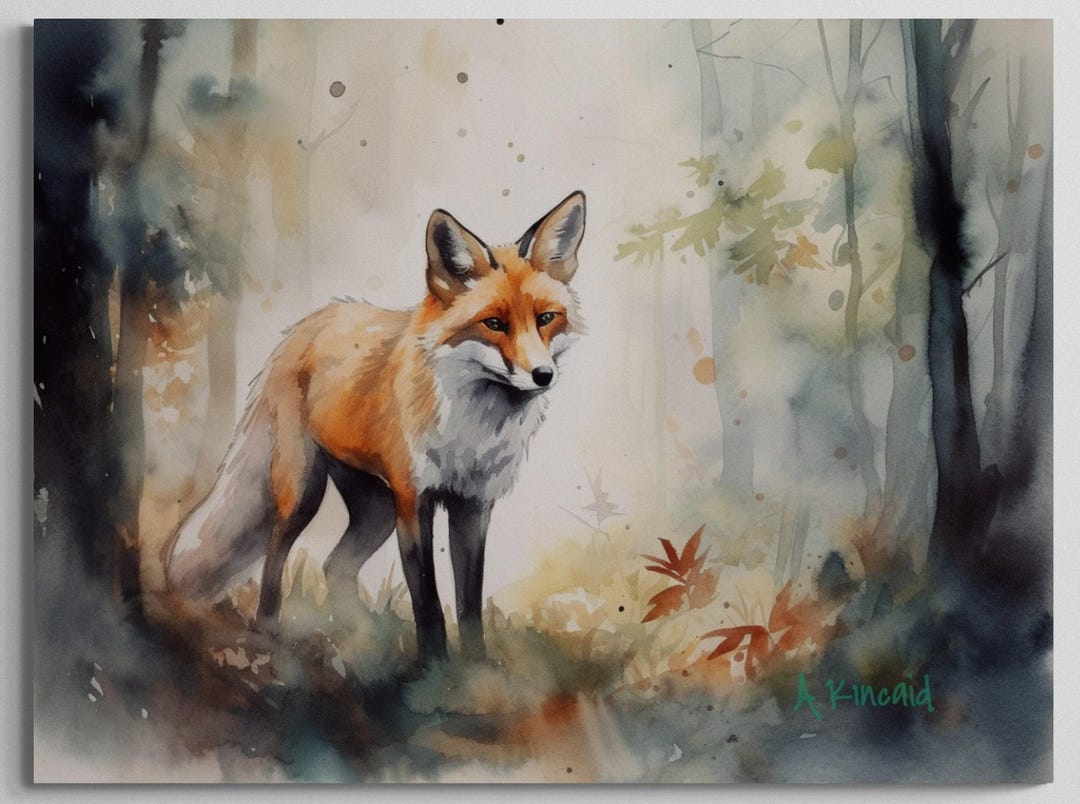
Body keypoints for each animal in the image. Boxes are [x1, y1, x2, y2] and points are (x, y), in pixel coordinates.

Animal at [165, 191, 586, 663]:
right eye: (494, 323)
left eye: (546, 318)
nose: (543, 375)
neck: (471, 434)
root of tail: (302, 327)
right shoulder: (414, 500)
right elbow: (428, 602)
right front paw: (433, 666)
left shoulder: (473, 505)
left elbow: (469, 603)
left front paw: (476, 669)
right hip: (307, 490)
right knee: (277, 552)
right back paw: (271, 630)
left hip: (375, 510)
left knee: (336, 566)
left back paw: (359, 636)